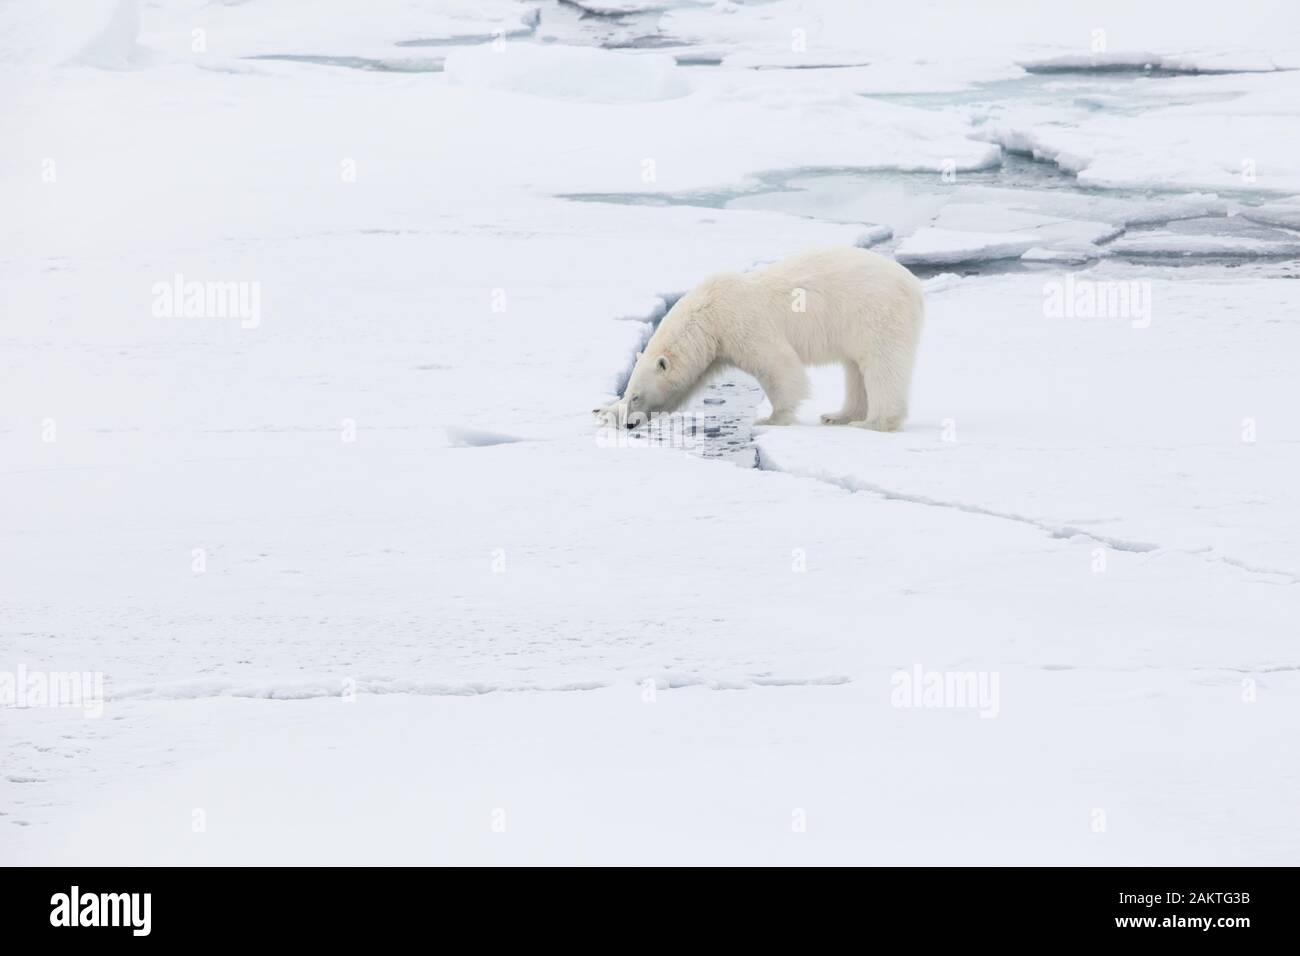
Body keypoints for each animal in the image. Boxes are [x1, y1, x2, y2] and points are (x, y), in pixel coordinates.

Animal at [597, 246, 924, 431]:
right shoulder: (712, 351)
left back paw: (873, 422)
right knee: (854, 368)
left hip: (876, 313)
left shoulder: (743, 325)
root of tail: (913, 284)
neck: (708, 316)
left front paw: (771, 419)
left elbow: (778, 366)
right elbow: (684, 386)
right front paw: (605, 412)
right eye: (629, 393)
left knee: (881, 365)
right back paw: (837, 415)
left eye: (637, 395)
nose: (630, 423)